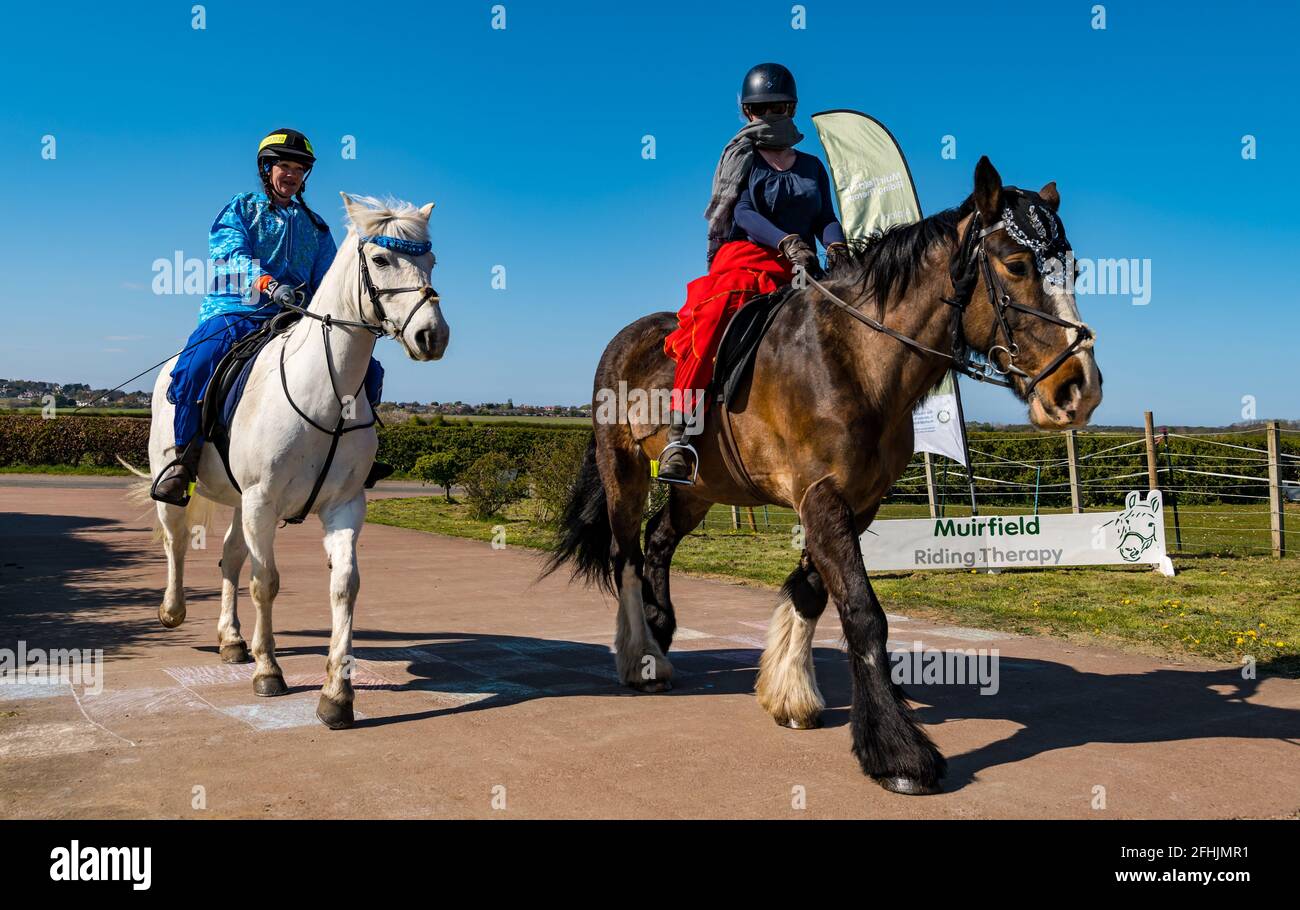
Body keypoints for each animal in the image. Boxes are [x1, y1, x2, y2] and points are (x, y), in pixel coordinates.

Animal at [122, 193, 449, 730]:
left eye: (432, 261)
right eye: (381, 259)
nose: (432, 336)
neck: (326, 392)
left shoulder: (342, 507)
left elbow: (344, 586)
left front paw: (337, 695)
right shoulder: (263, 502)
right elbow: (266, 583)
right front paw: (269, 671)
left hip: (241, 504)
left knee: (230, 556)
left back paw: (232, 640)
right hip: (180, 485)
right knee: (176, 541)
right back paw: (173, 611)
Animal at [545, 157, 1102, 794]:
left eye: (1074, 268)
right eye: (1016, 264)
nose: (1080, 389)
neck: (856, 356)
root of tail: (626, 337)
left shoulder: (855, 502)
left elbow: (811, 590)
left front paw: (789, 693)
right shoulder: (822, 496)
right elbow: (863, 613)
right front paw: (897, 752)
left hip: (703, 487)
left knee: (659, 541)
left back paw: (662, 632)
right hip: (623, 469)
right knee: (627, 554)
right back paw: (642, 659)